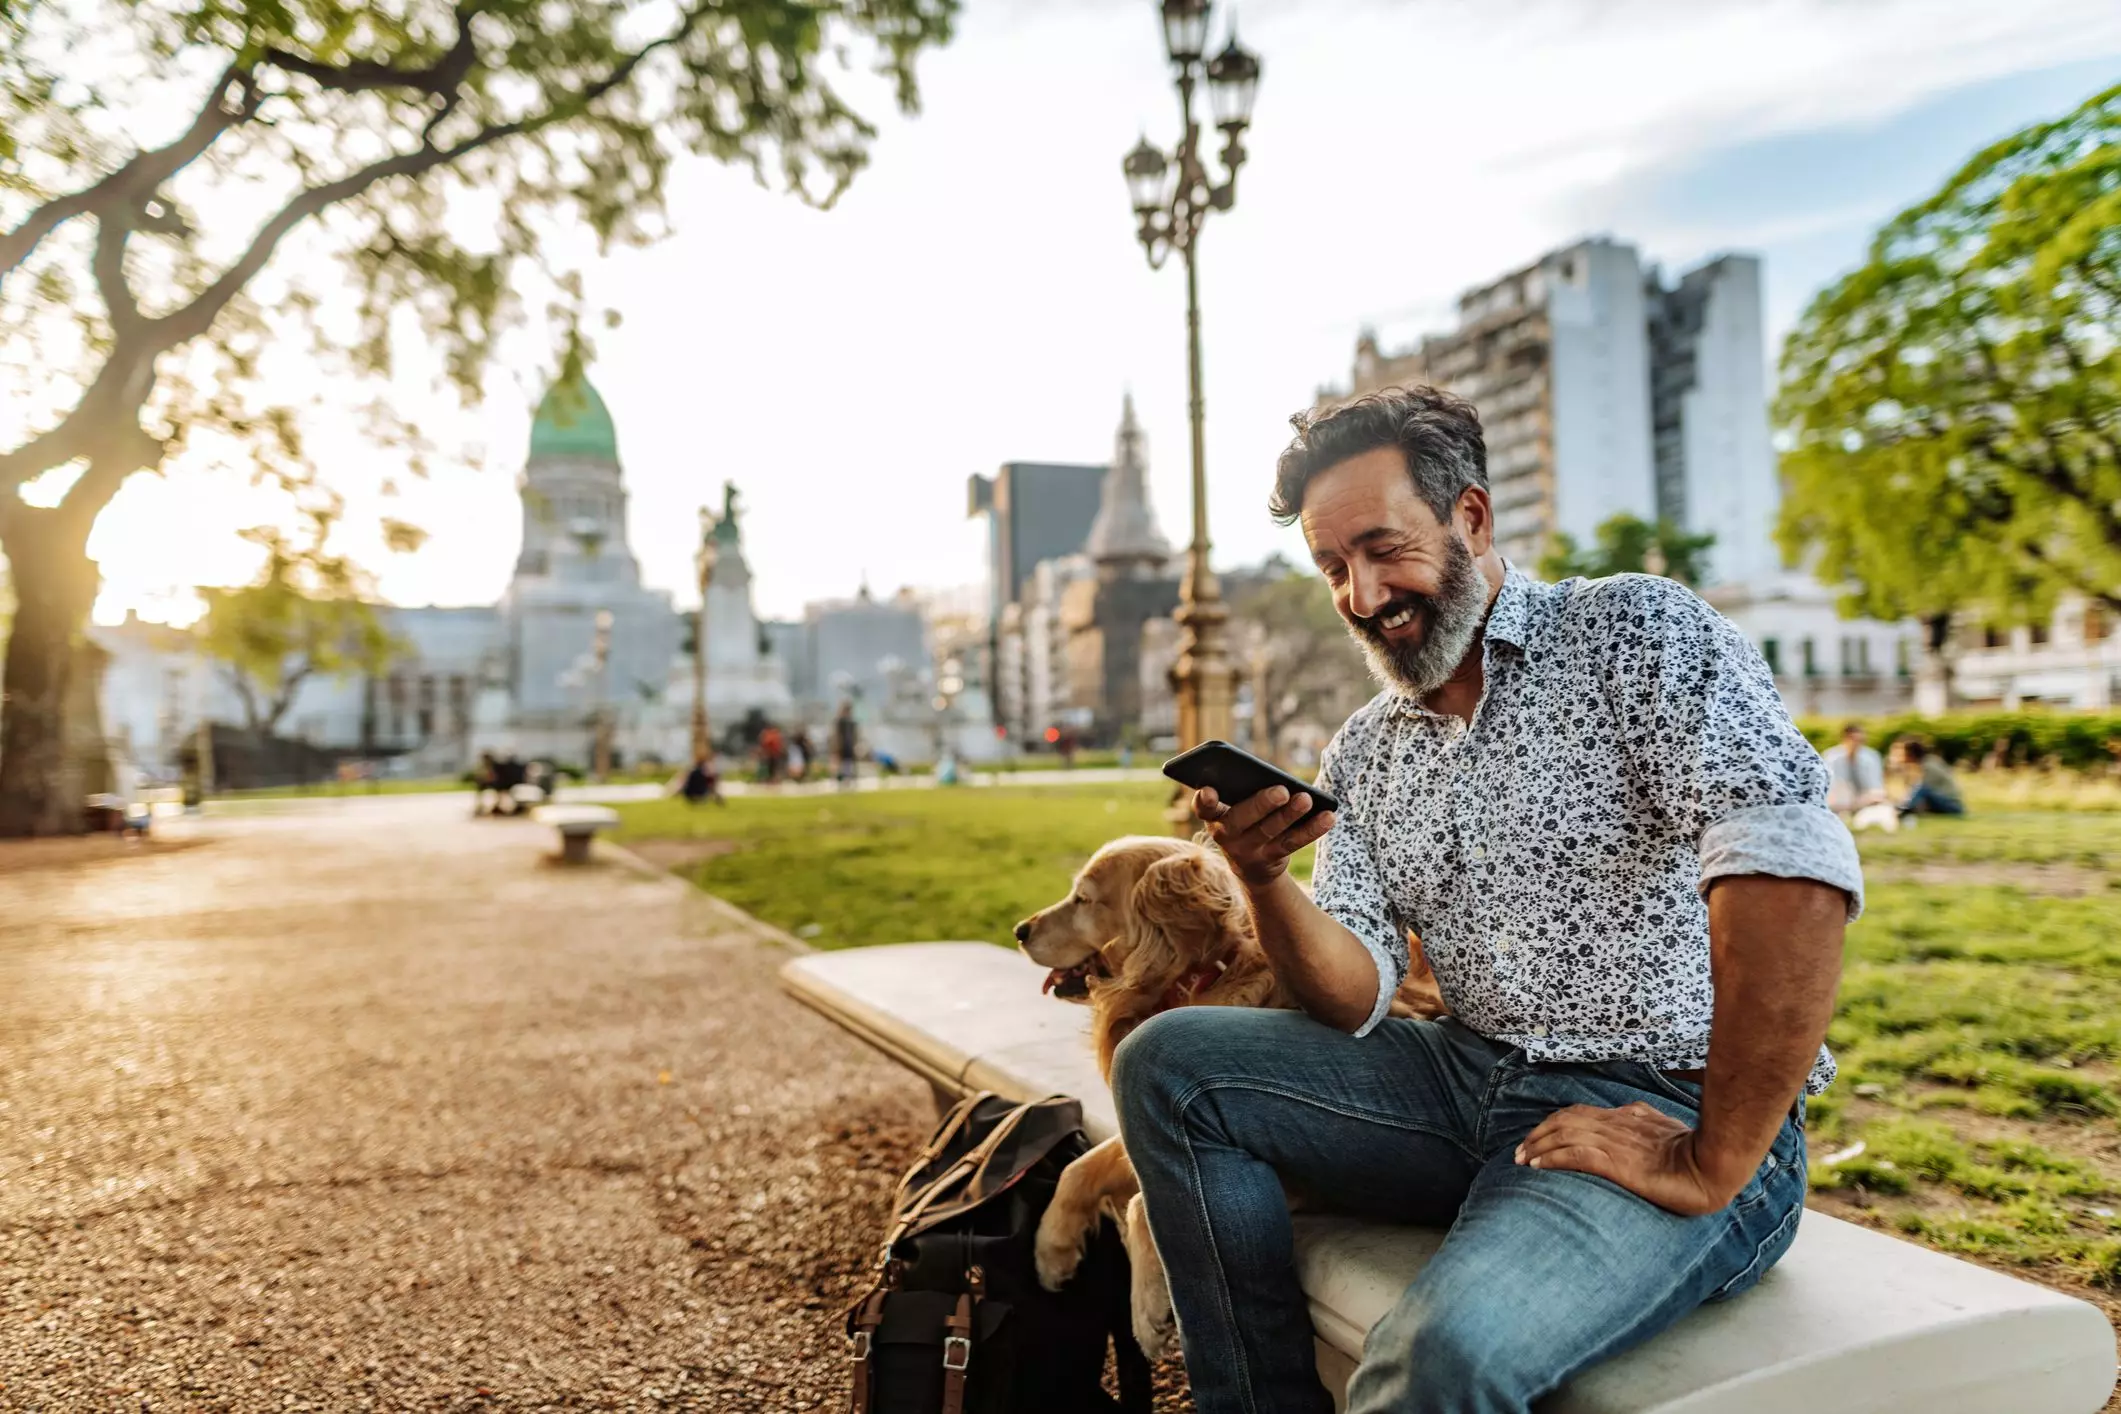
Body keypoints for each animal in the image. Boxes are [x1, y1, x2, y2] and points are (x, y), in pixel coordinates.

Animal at [1005, 835, 1442, 1356]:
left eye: (1084, 899)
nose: (1019, 930)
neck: (1206, 977)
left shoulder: (1303, 1177)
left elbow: (1141, 1204)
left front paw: (1147, 1309)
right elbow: (1079, 1168)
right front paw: (1052, 1251)